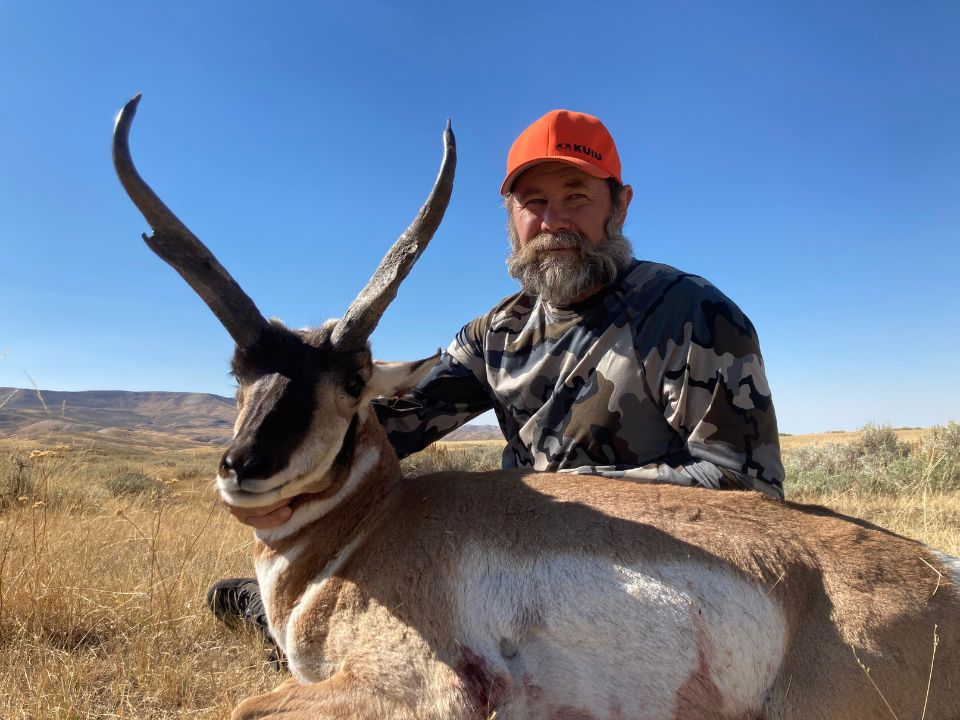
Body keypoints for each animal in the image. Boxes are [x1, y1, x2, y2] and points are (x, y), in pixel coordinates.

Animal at [113, 95, 960, 720]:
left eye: (354, 381)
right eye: (238, 371)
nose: (243, 466)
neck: (372, 525)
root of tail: (938, 571)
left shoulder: (411, 689)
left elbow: (241, 706)